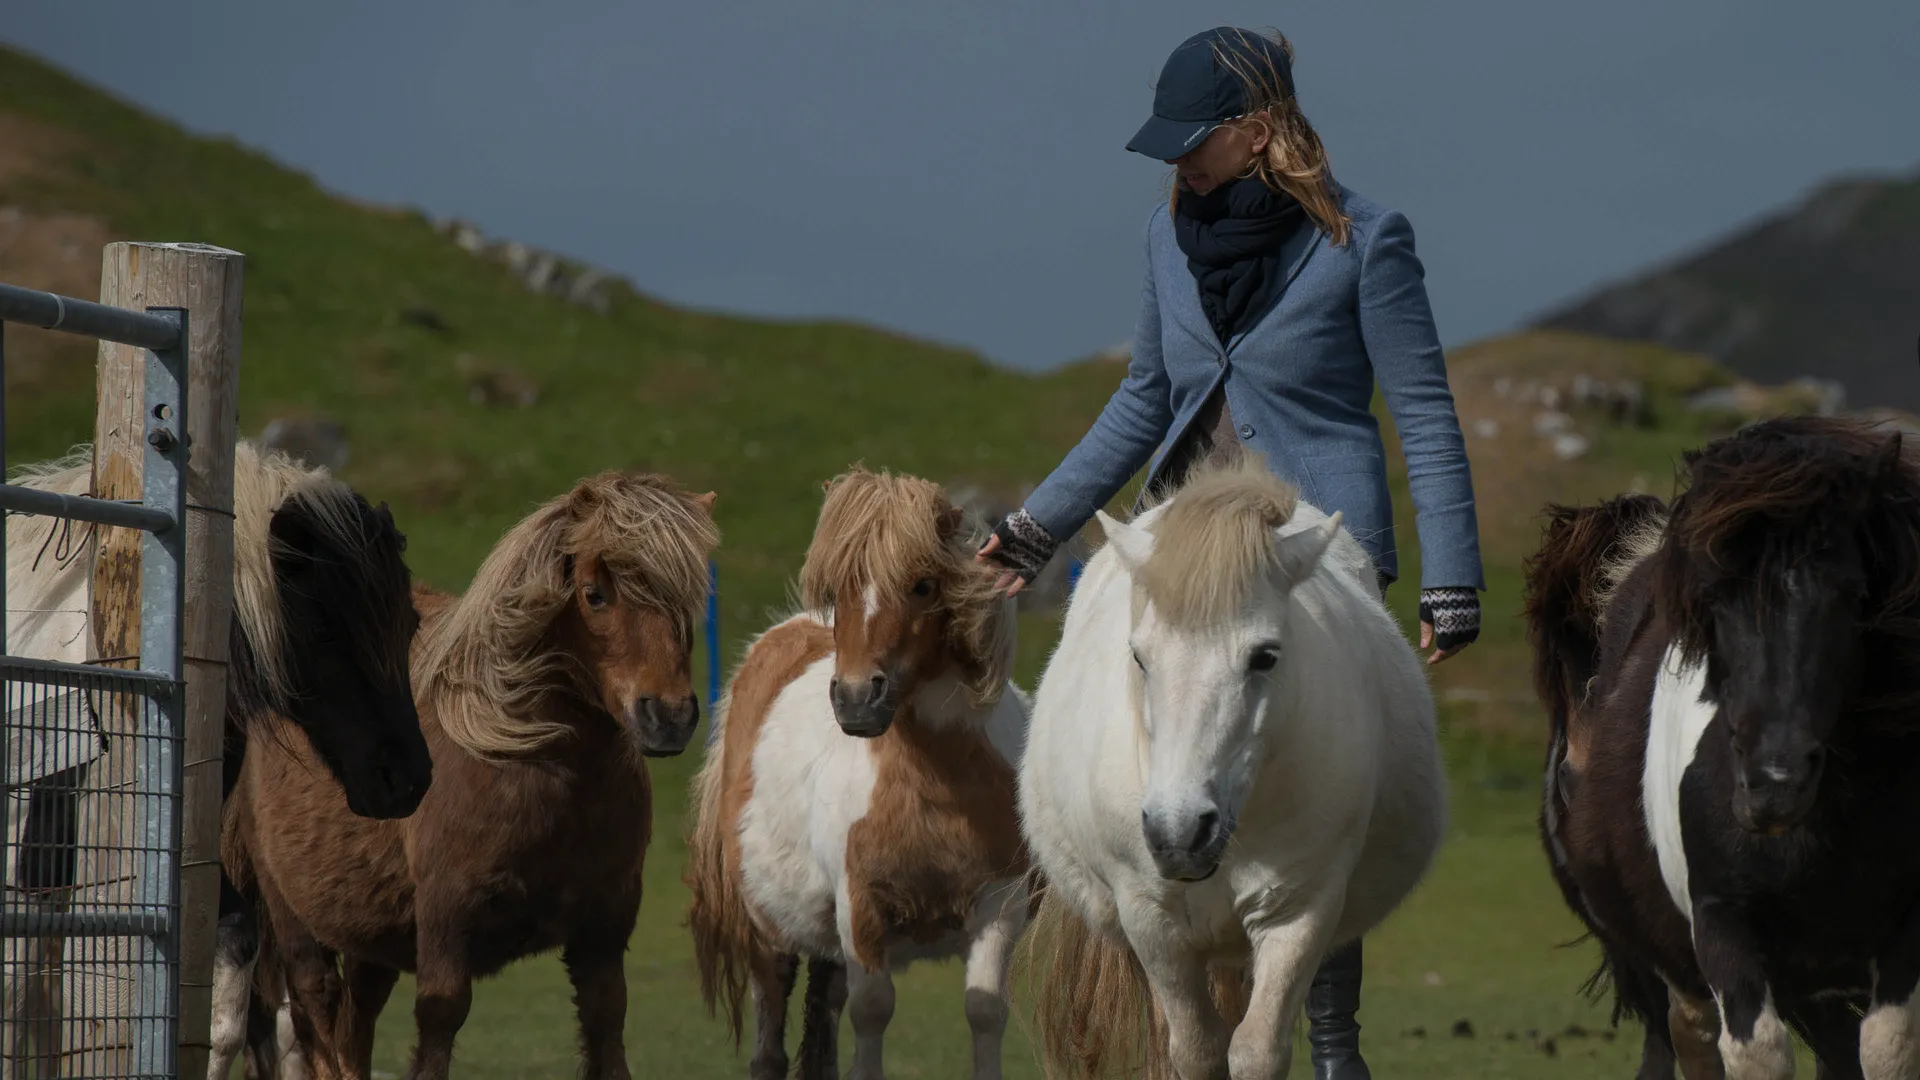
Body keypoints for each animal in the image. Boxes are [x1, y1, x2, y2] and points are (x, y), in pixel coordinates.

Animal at [222, 469, 720, 1080]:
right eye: (595, 595)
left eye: (691, 600)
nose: (667, 717)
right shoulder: (447, 934)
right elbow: (439, 1028)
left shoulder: (603, 937)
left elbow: (607, 1030)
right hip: (295, 925)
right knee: (316, 1006)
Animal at [684, 466, 1030, 1080]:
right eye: (840, 588)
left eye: (923, 586)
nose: (854, 700)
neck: (934, 789)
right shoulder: (861, 907)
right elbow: (873, 1011)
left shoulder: (1002, 905)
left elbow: (986, 1010)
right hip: (768, 931)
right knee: (771, 1038)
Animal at [1523, 414, 1920, 1080]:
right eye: (1715, 599)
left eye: (1851, 592)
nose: (1774, 786)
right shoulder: (1722, 922)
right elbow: (1756, 1052)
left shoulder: (1902, 933)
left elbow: (1887, 1049)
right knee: (1689, 1037)